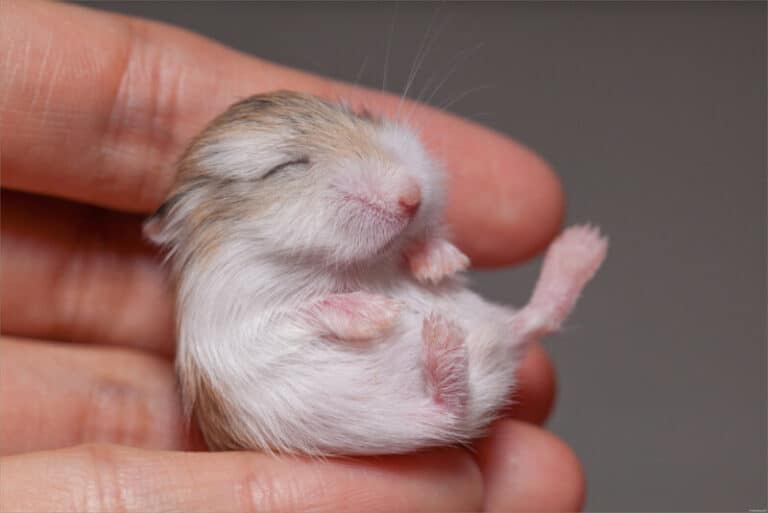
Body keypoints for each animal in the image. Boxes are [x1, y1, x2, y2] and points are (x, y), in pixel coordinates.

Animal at [144, 91, 607, 456]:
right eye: (285, 167)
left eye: (359, 115)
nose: (411, 196)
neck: (350, 263)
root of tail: (499, 349)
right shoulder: (238, 319)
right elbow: (307, 307)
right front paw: (381, 313)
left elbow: (417, 243)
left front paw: (439, 262)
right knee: (448, 409)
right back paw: (443, 337)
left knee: (535, 319)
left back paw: (582, 245)